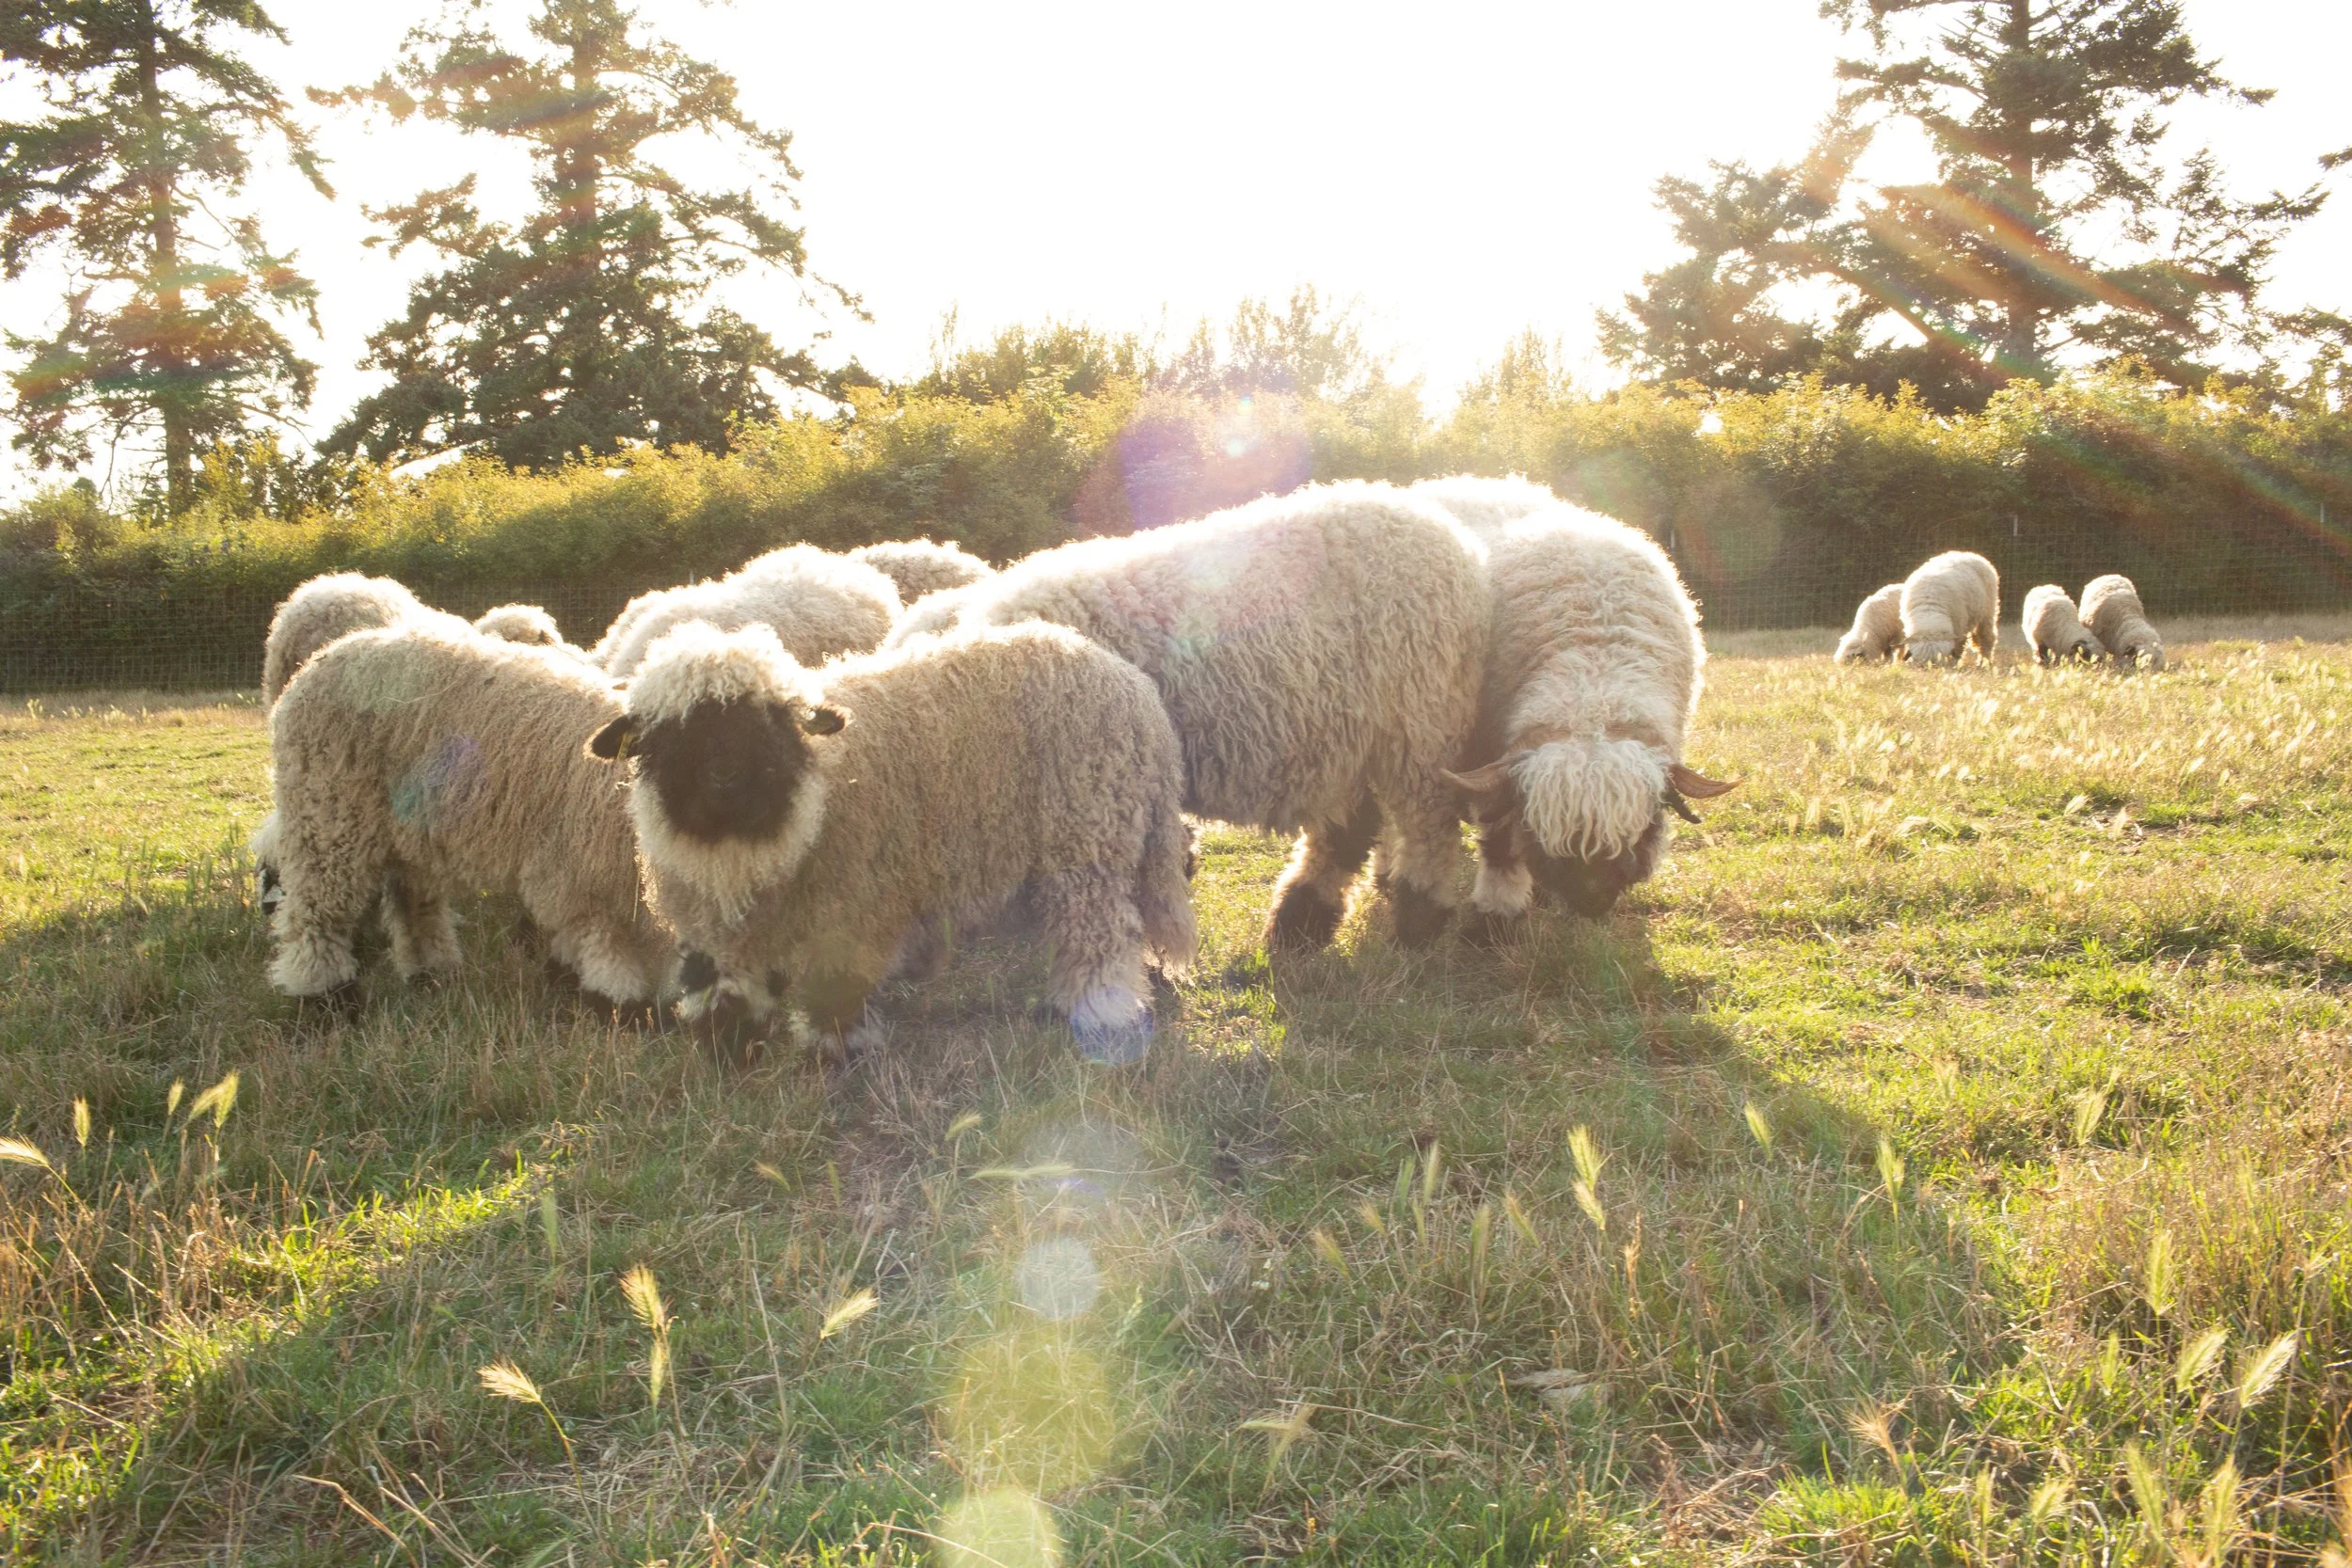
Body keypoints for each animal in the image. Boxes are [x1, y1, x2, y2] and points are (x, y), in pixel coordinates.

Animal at [265, 620, 673, 1008]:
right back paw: (325, 996)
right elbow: (604, 946)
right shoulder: (580, 877)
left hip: (411, 829)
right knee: (317, 911)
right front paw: (616, 1003)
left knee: (413, 902)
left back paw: (431, 973)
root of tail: (323, 658)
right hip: (327, 811)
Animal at [589, 620, 1196, 1064]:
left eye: (770, 721)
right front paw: (728, 1036)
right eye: (671, 734)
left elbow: (836, 983)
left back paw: (1101, 1012)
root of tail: (1136, 692)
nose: (725, 779)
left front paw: (836, 1047)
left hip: (1087, 838)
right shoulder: (715, 921)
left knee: (1100, 932)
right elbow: (720, 979)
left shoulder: (854, 905)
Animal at [881, 480, 1492, 951]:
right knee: (1350, 826)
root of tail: (1455, 542)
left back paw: (1416, 918)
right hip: (1350, 730)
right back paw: (1301, 922)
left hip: (1418, 715)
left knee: (1426, 821)